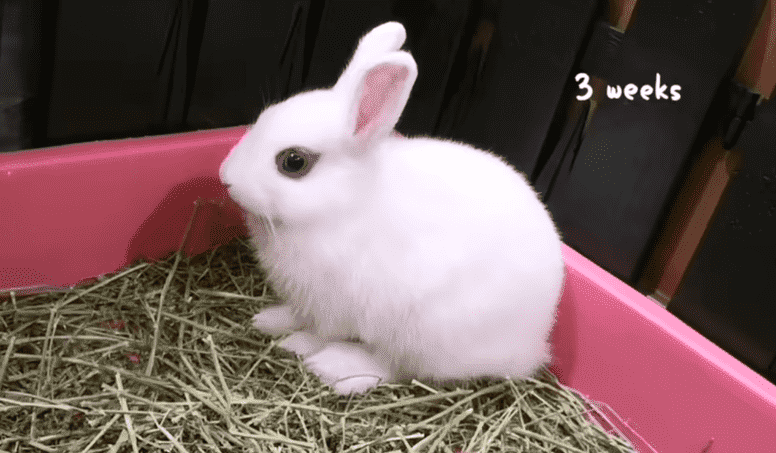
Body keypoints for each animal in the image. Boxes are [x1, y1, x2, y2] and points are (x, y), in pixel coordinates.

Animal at [219, 21, 565, 395]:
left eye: (293, 162)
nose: (226, 178)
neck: (341, 206)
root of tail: (535, 342)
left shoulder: (335, 307)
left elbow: (318, 333)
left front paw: (296, 345)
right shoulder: (308, 301)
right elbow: (298, 315)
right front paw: (269, 320)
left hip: (424, 334)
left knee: (398, 367)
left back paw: (337, 367)